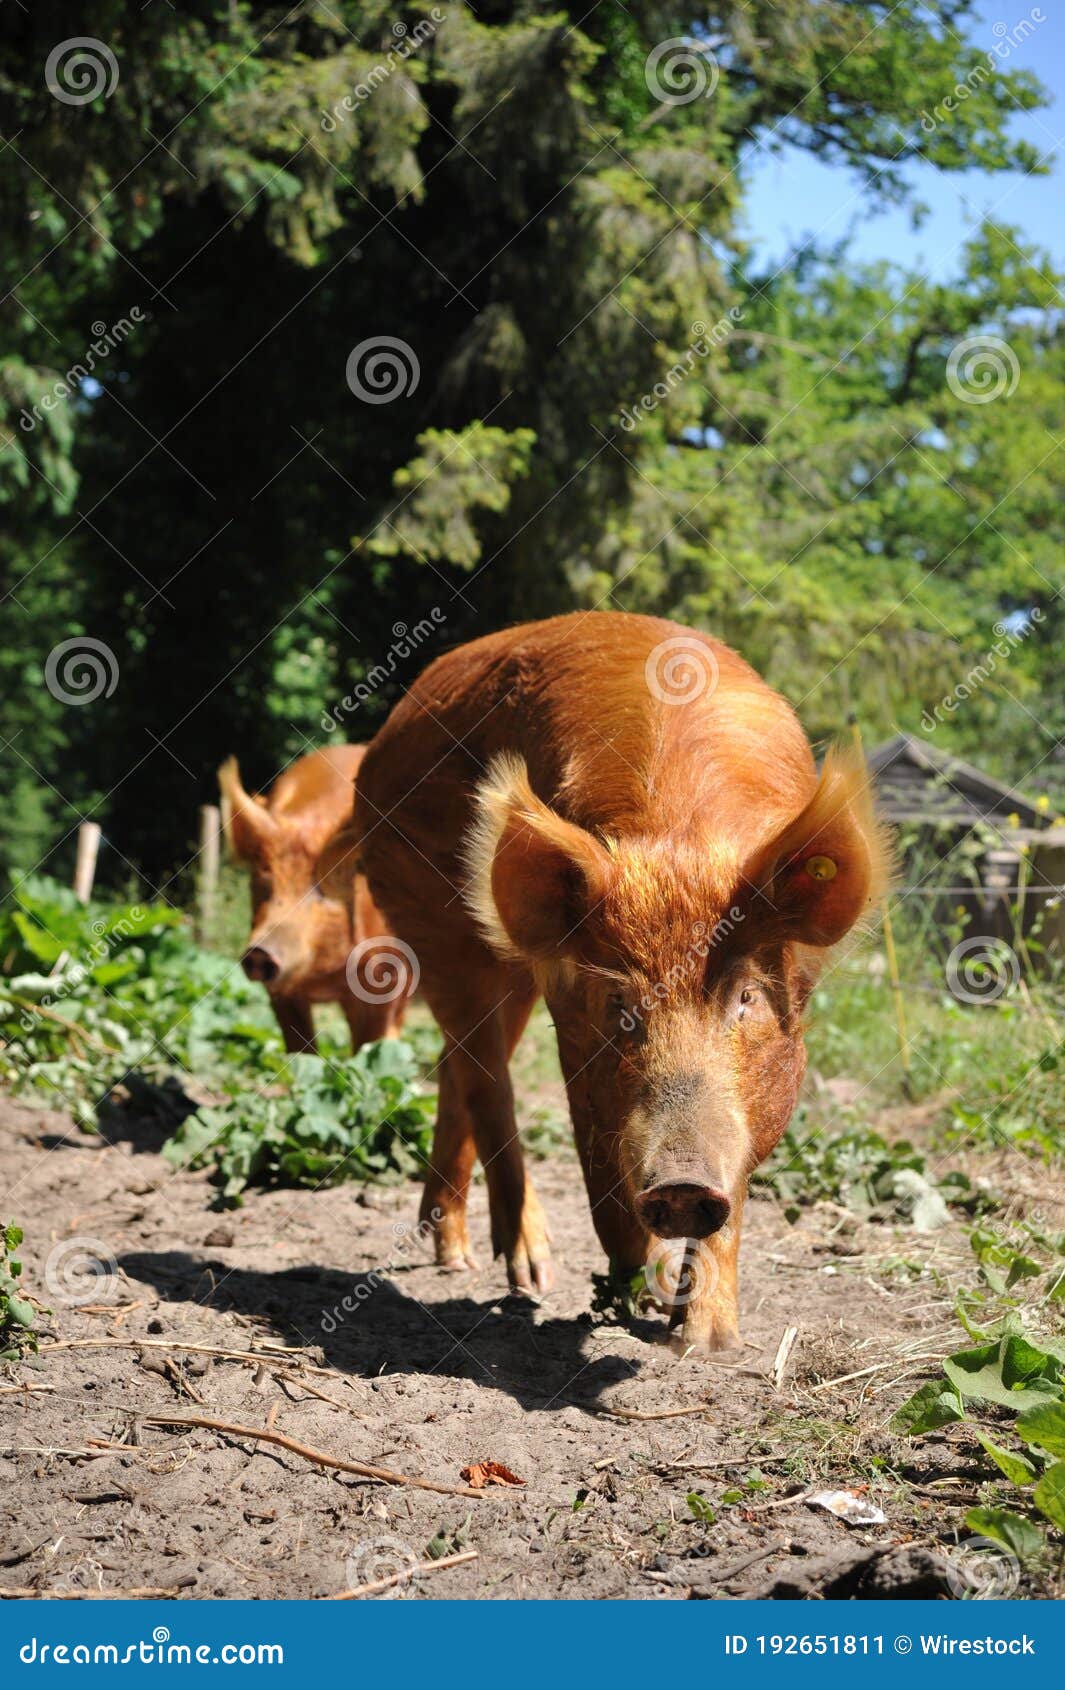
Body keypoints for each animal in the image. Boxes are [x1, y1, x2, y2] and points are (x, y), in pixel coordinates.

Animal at [218, 746, 411, 1054]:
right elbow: (301, 1049)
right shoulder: (281, 991)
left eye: (324, 890)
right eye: (264, 884)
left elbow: (369, 1044)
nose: (259, 951)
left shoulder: (388, 971)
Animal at [336, 614, 888, 1351]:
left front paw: (703, 1342)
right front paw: (634, 1296)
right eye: (620, 1005)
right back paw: (526, 1275)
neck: (681, 834)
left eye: (745, 997)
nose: (681, 1182)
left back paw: (455, 1257)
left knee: (456, 1064)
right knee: (485, 1076)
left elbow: (740, 1170)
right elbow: (594, 1154)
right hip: (435, 925)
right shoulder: (573, 1018)